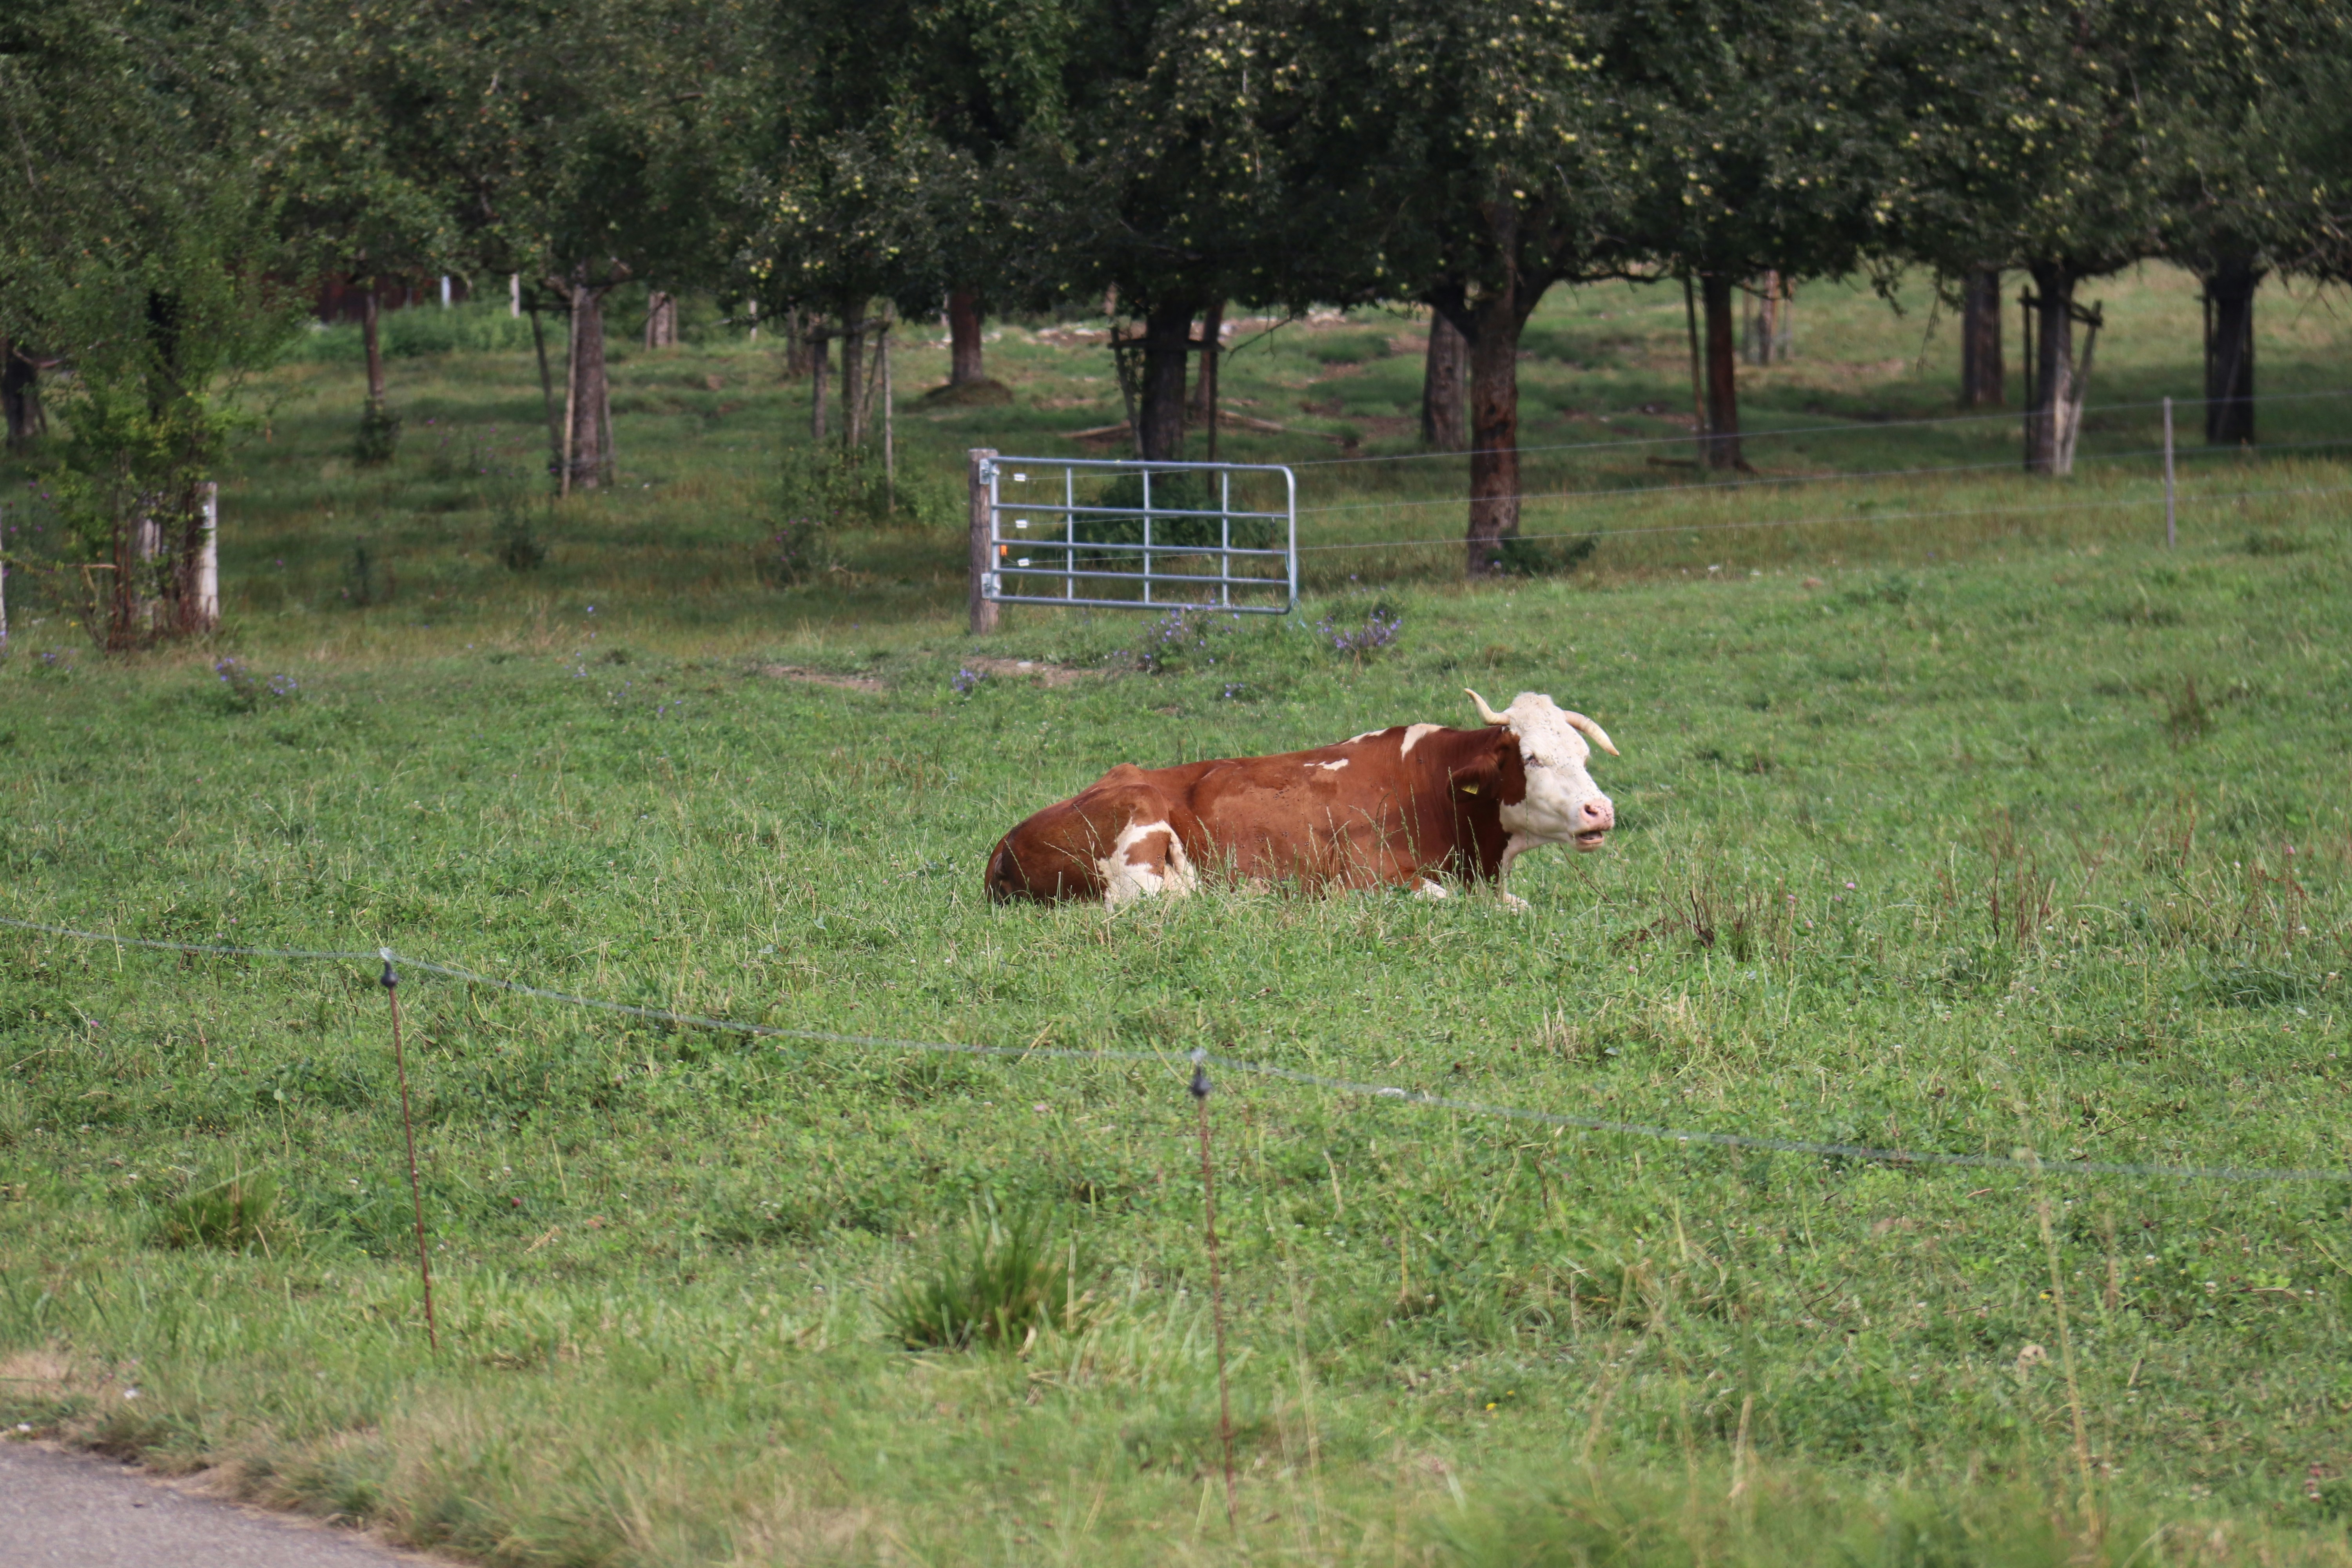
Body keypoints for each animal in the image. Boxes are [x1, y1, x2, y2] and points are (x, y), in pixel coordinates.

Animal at [984, 690, 1618, 910]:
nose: (1601, 810)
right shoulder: (1366, 876)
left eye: (1585, 756)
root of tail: (1004, 843)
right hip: (1139, 814)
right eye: (1531, 758)